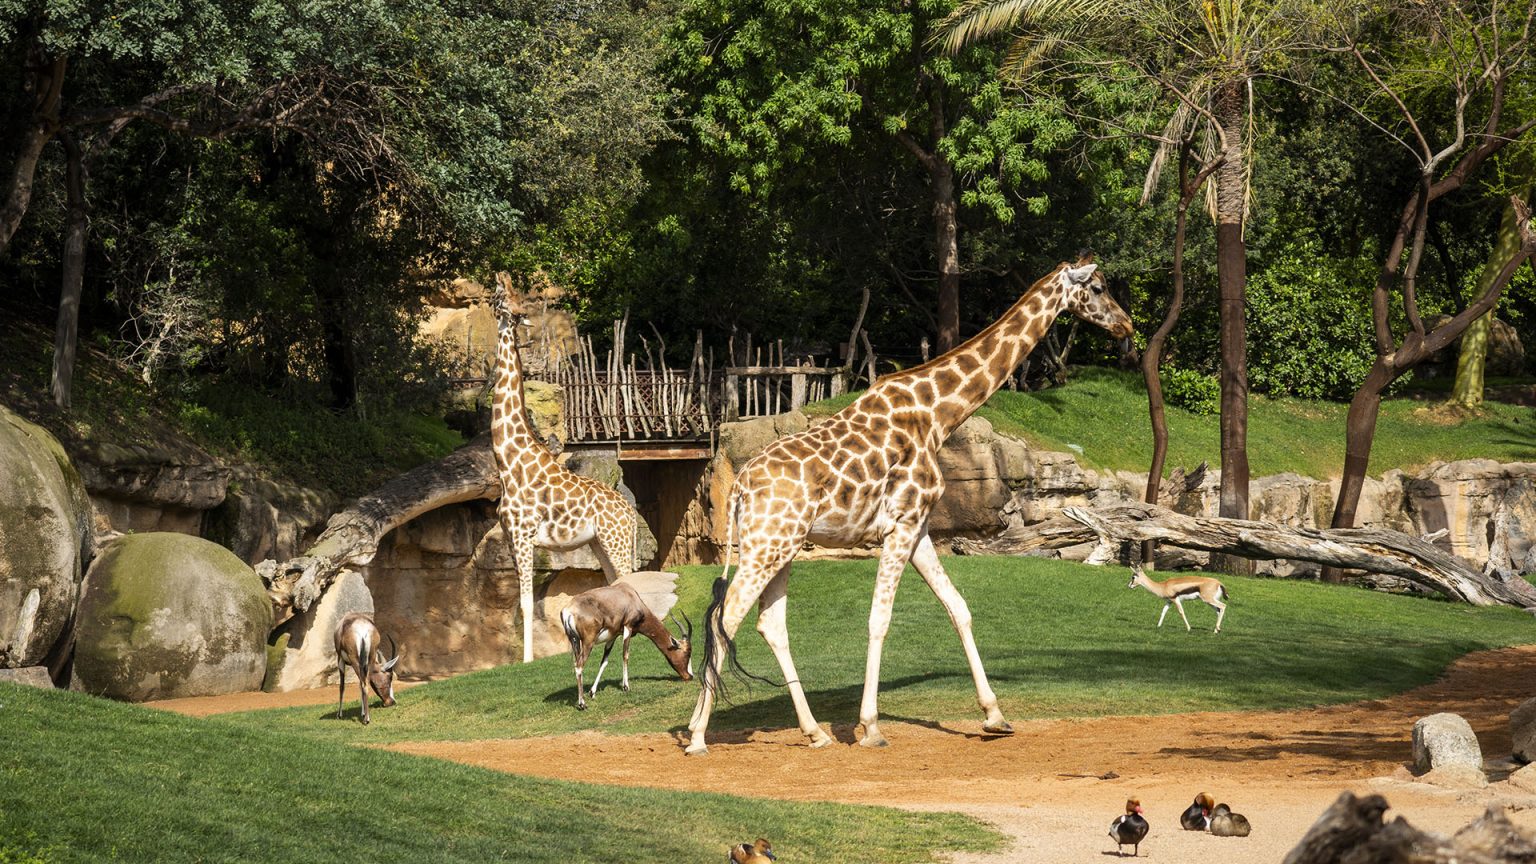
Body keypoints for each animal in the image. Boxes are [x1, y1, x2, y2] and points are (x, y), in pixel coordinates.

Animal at [487, 273, 641, 663]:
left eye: (507, 295)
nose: (499, 282)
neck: (508, 463)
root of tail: (631, 515)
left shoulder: (524, 536)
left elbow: (526, 604)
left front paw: (525, 662)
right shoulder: (510, 539)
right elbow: (519, 605)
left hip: (615, 541)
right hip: (601, 543)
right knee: (617, 584)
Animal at [685, 255, 1133, 755]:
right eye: (1098, 288)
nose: (1127, 325)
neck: (937, 415)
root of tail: (740, 485)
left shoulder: (918, 528)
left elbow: (958, 607)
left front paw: (995, 716)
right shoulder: (900, 524)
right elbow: (879, 619)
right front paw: (870, 727)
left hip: (782, 545)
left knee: (769, 623)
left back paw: (814, 732)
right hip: (768, 545)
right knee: (728, 617)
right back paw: (697, 735)